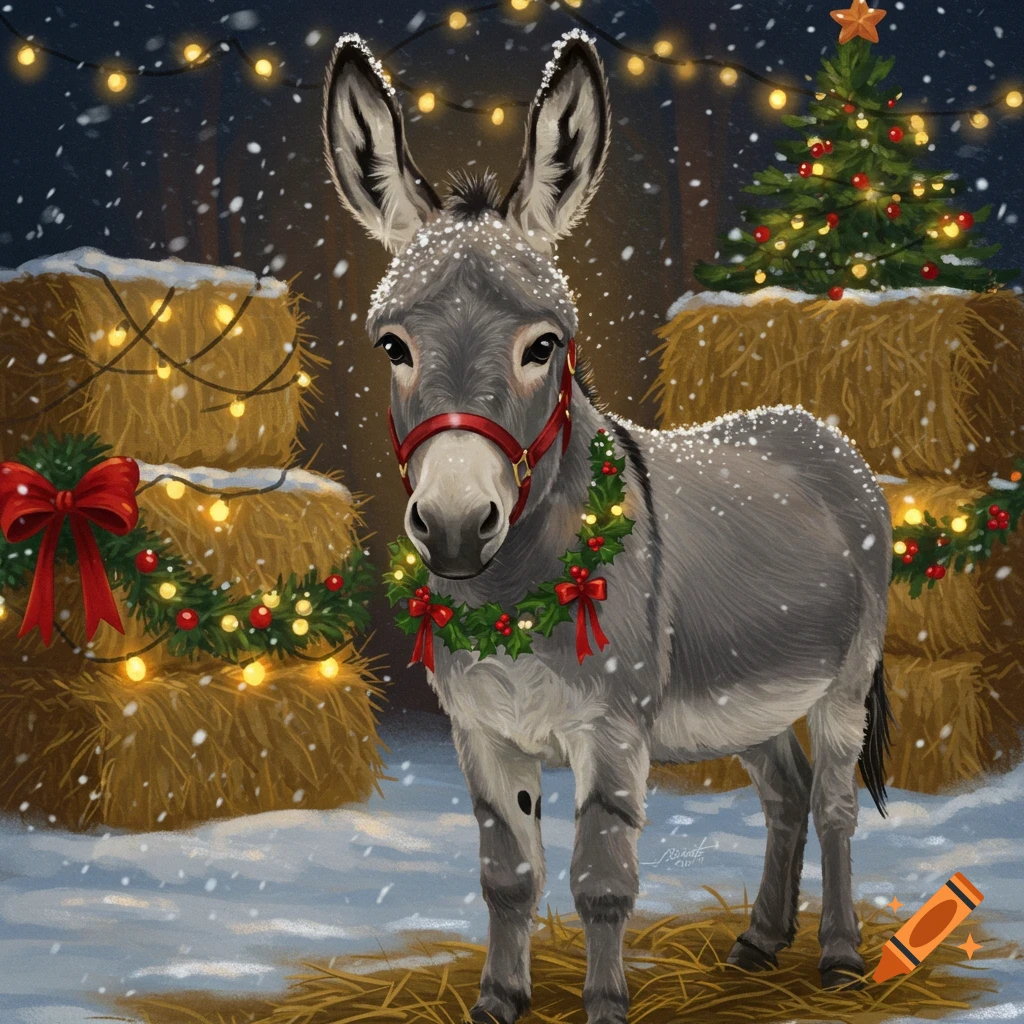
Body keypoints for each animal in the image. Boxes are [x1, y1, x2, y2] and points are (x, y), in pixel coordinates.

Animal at [322, 30, 893, 1024]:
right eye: (392, 345)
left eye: (544, 345)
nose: (457, 527)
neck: (514, 599)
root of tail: (813, 427)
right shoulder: (483, 733)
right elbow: (507, 873)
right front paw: (499, 1000)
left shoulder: (613, 731)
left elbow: (601, 881)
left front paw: (604, 1005)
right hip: (750, 691)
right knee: (784, 799)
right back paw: (759, 942)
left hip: (845, 679)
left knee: (832, 805)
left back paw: (840, 957)